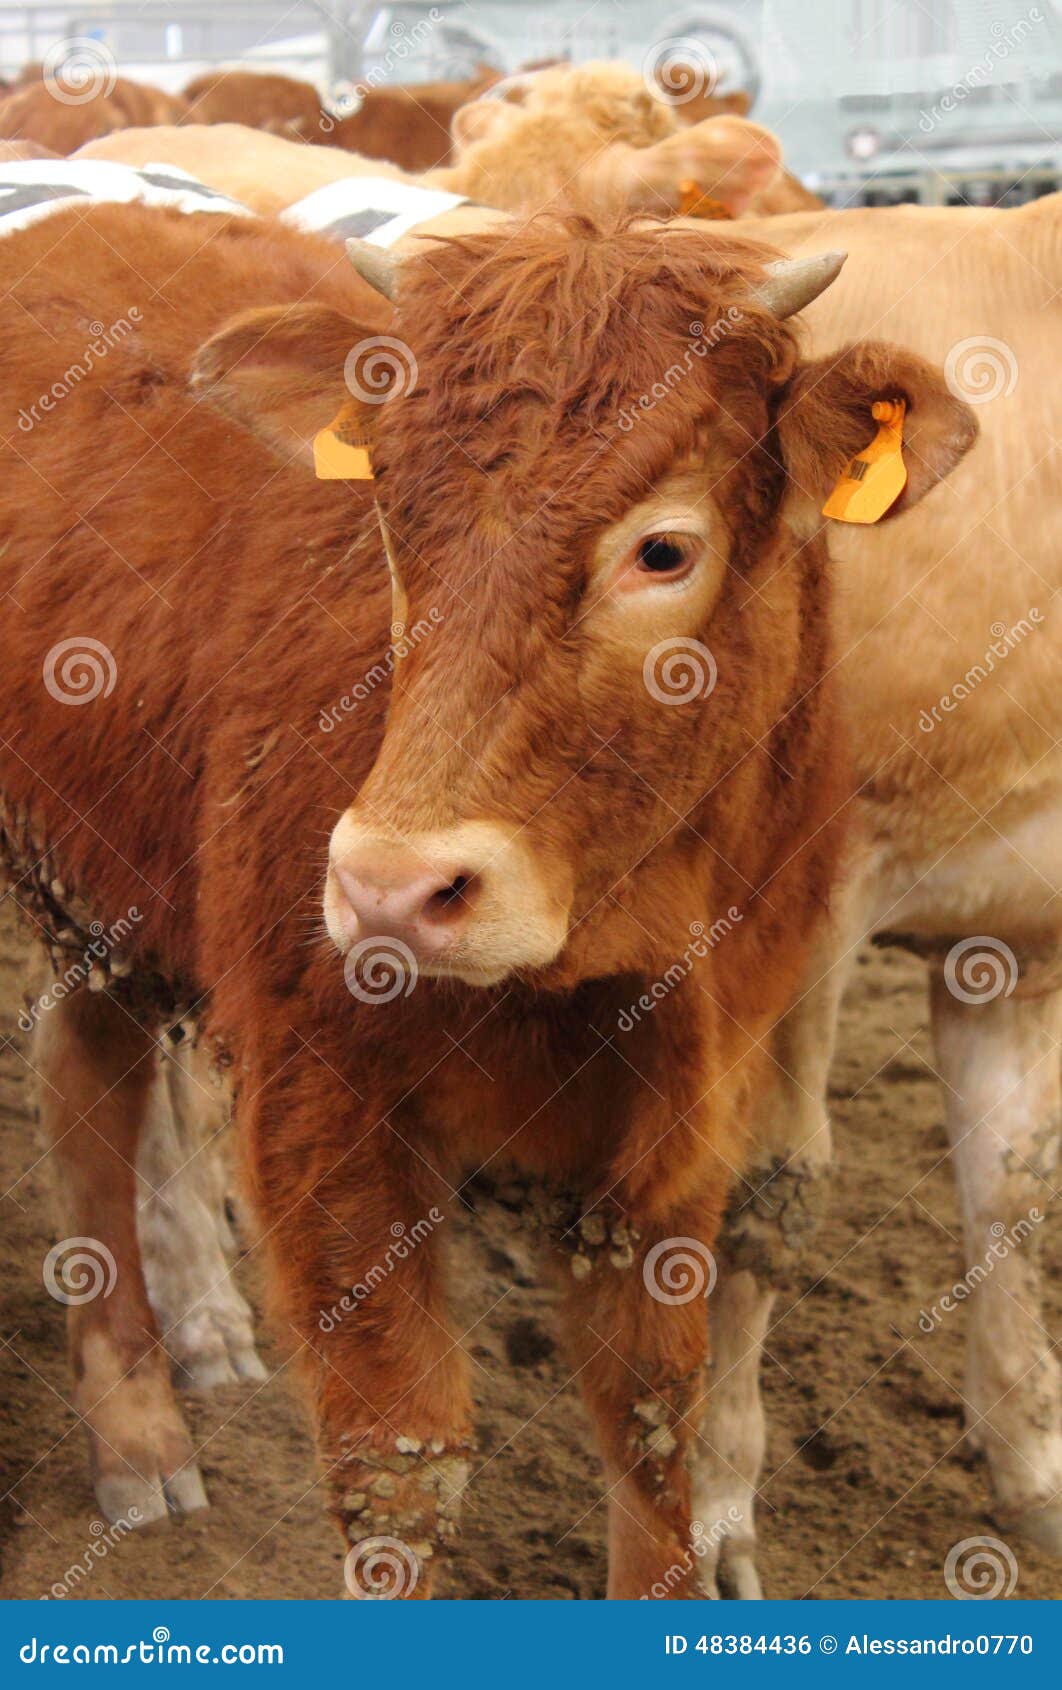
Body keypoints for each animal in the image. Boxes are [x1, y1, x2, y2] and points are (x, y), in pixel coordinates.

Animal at [65, 130, 1062, 1584]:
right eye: (390, 521)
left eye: (663, 549)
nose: (390, 885)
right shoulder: (810, 920)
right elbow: (770, 1203)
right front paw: (726, 1508)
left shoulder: (1010, 933)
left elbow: (1008, 1191)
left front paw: (1030, 1464)